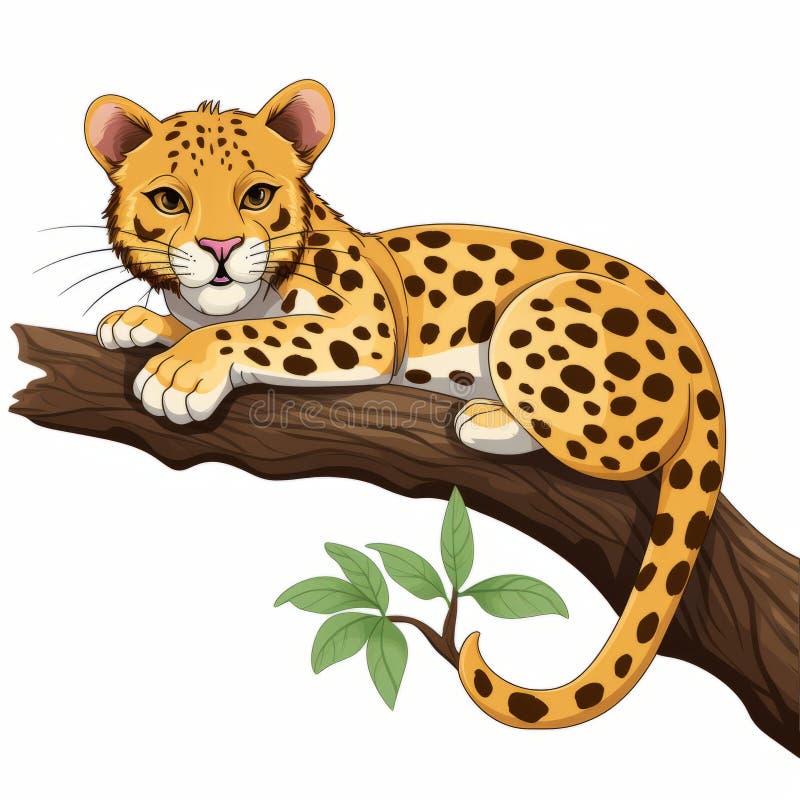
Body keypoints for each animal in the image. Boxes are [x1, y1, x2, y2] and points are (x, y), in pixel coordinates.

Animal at [85, 80, 725, 729]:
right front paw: (136, 322)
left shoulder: (364, 329)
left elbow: (249, 333)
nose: (220, 247)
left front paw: (181, 374)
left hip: (536, 310)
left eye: (258, 195)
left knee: (625, 449)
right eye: (169, 200)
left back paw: (489, 416)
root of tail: (693, 341)